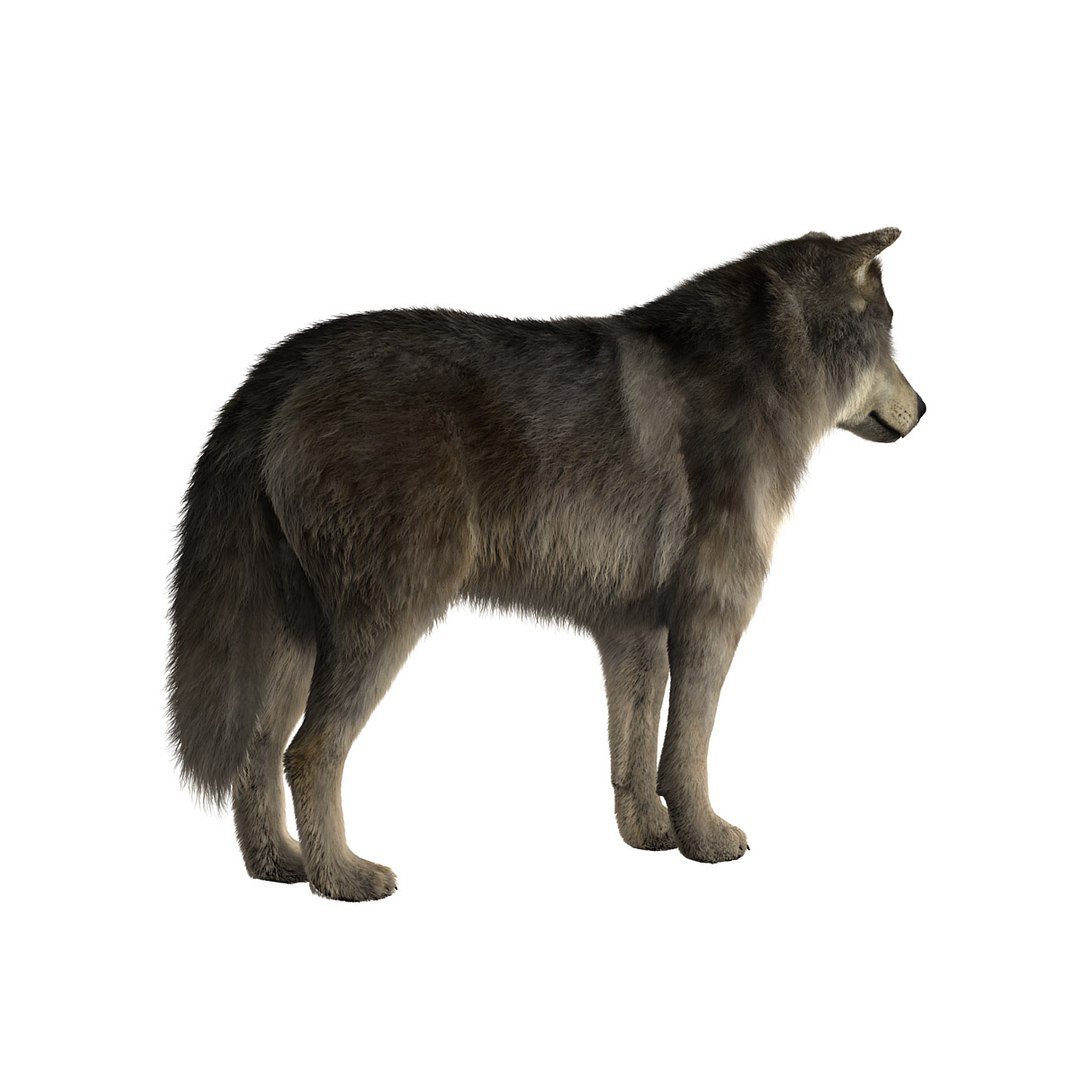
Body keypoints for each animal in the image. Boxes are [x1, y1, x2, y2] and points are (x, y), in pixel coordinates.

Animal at [168, 227, 924, 901]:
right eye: (889, 331)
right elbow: (687, 751)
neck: (755, 375)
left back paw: (279, 865)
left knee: (257, 752)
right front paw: (705, 839)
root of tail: (279, 367)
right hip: (382, 622)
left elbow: (634, 751)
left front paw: (650, 834)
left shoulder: (633, 631)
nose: (923, 408)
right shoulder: (710, 618)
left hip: (293, 635)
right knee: (309, 751)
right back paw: (342, 880)